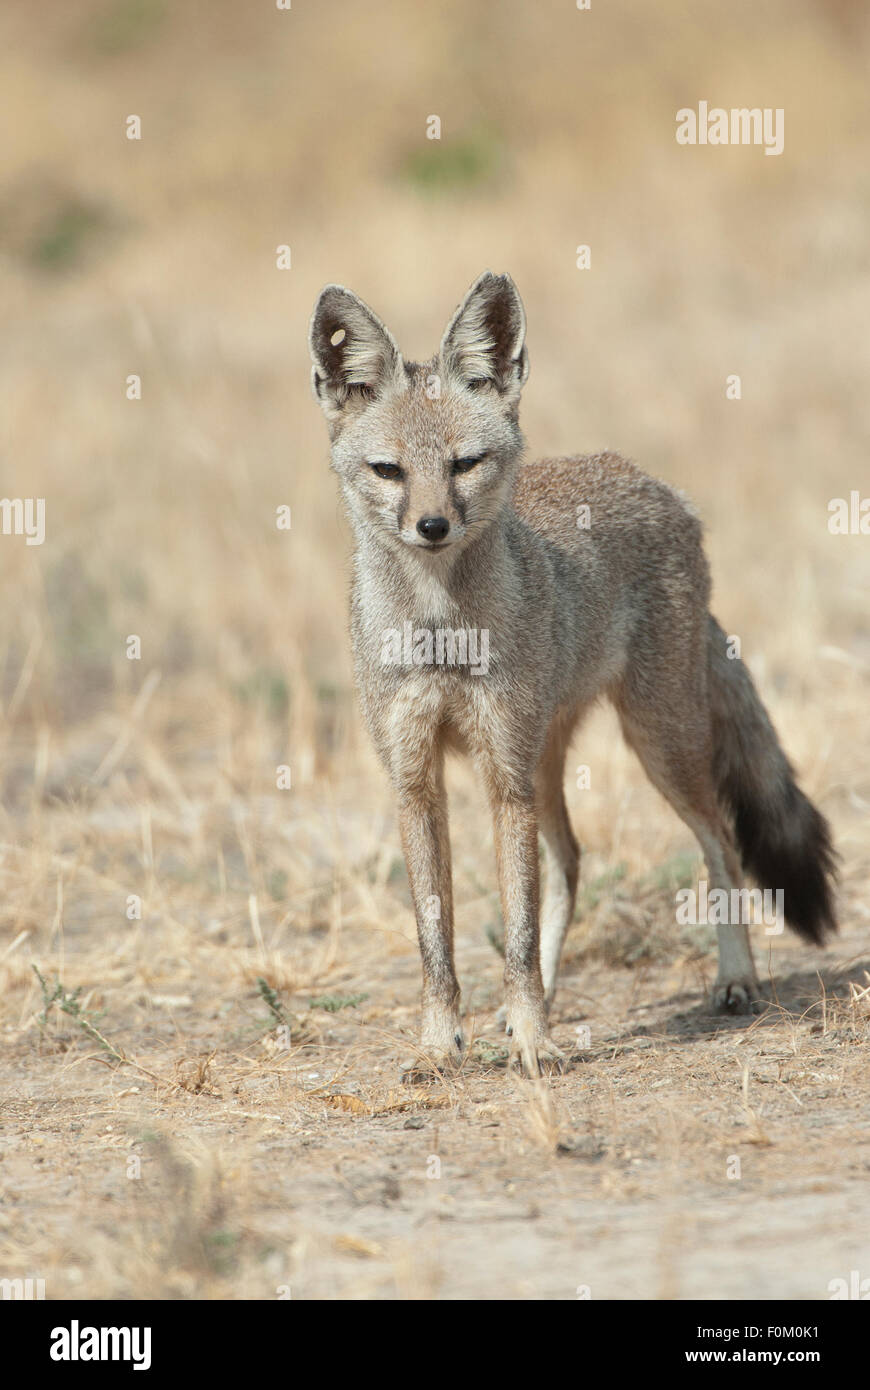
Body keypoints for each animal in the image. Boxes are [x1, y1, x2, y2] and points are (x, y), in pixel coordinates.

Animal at [308, 270, 837, 1078]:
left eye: (464, 465)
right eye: (389, 471)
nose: (432, 527)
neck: (442, 631)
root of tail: (656, 484)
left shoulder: (502, 776)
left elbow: (519, 934)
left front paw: (534, 1044)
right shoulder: (415, 781)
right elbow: (438, 943)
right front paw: (440, 1046)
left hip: (656, 746)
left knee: (721, 844)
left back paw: (736, 979)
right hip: (548, 762)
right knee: (569, 863)